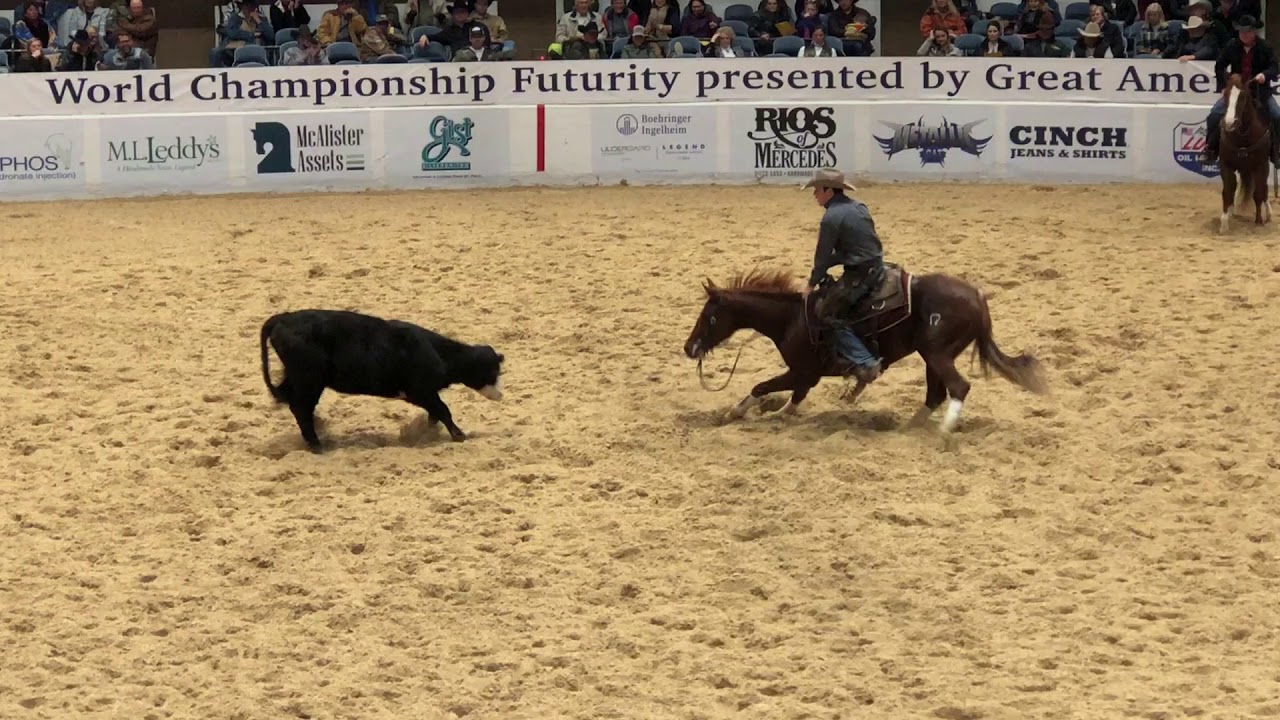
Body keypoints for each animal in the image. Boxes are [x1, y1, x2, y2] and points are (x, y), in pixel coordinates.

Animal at [259, 309, 505, 453]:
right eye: (493, 371)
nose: (501, 395)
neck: (437, 352)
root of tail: (282, 318)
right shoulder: (420, 391)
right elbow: (443, 410)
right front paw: (459, 435)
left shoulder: (424, 395)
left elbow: (435, 414)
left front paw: (424, 436)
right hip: (309, 380)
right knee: (301, 409)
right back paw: (318, 445)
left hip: (299, 378)